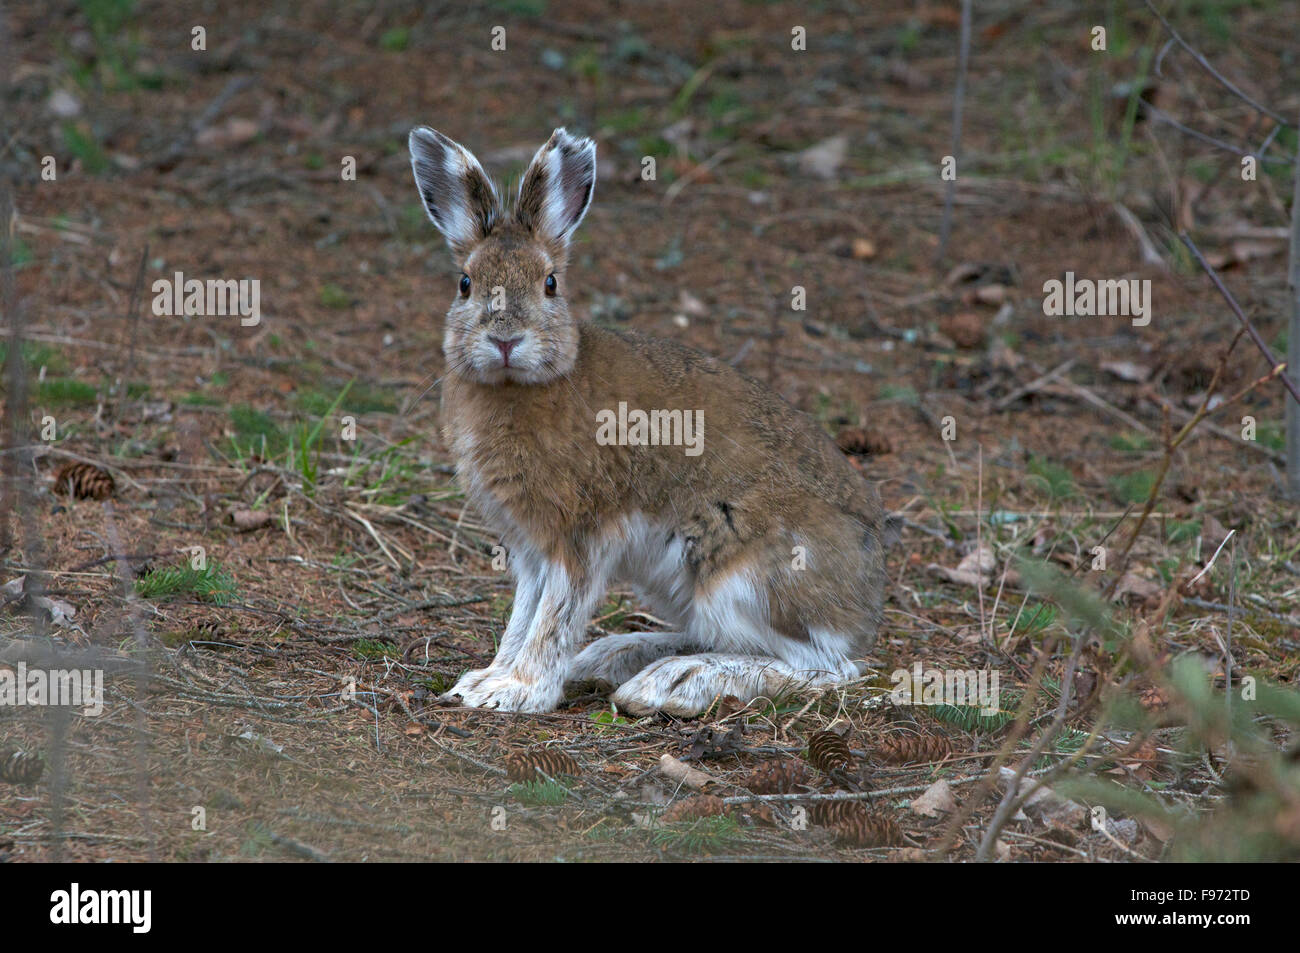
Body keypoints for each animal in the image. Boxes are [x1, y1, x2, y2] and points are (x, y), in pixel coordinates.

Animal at [409, 125, 887, 716]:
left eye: (550, 284)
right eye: (465, 283)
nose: (504, 339)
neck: (521, 387)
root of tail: (866, 605)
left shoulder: (581, 535)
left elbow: (553, 617)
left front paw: (517, 690)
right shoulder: (531, 548)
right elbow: (524, 614)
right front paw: (486, 680)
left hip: (737, 578)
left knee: (831, 669)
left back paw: (675, 682)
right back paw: (614, 657)